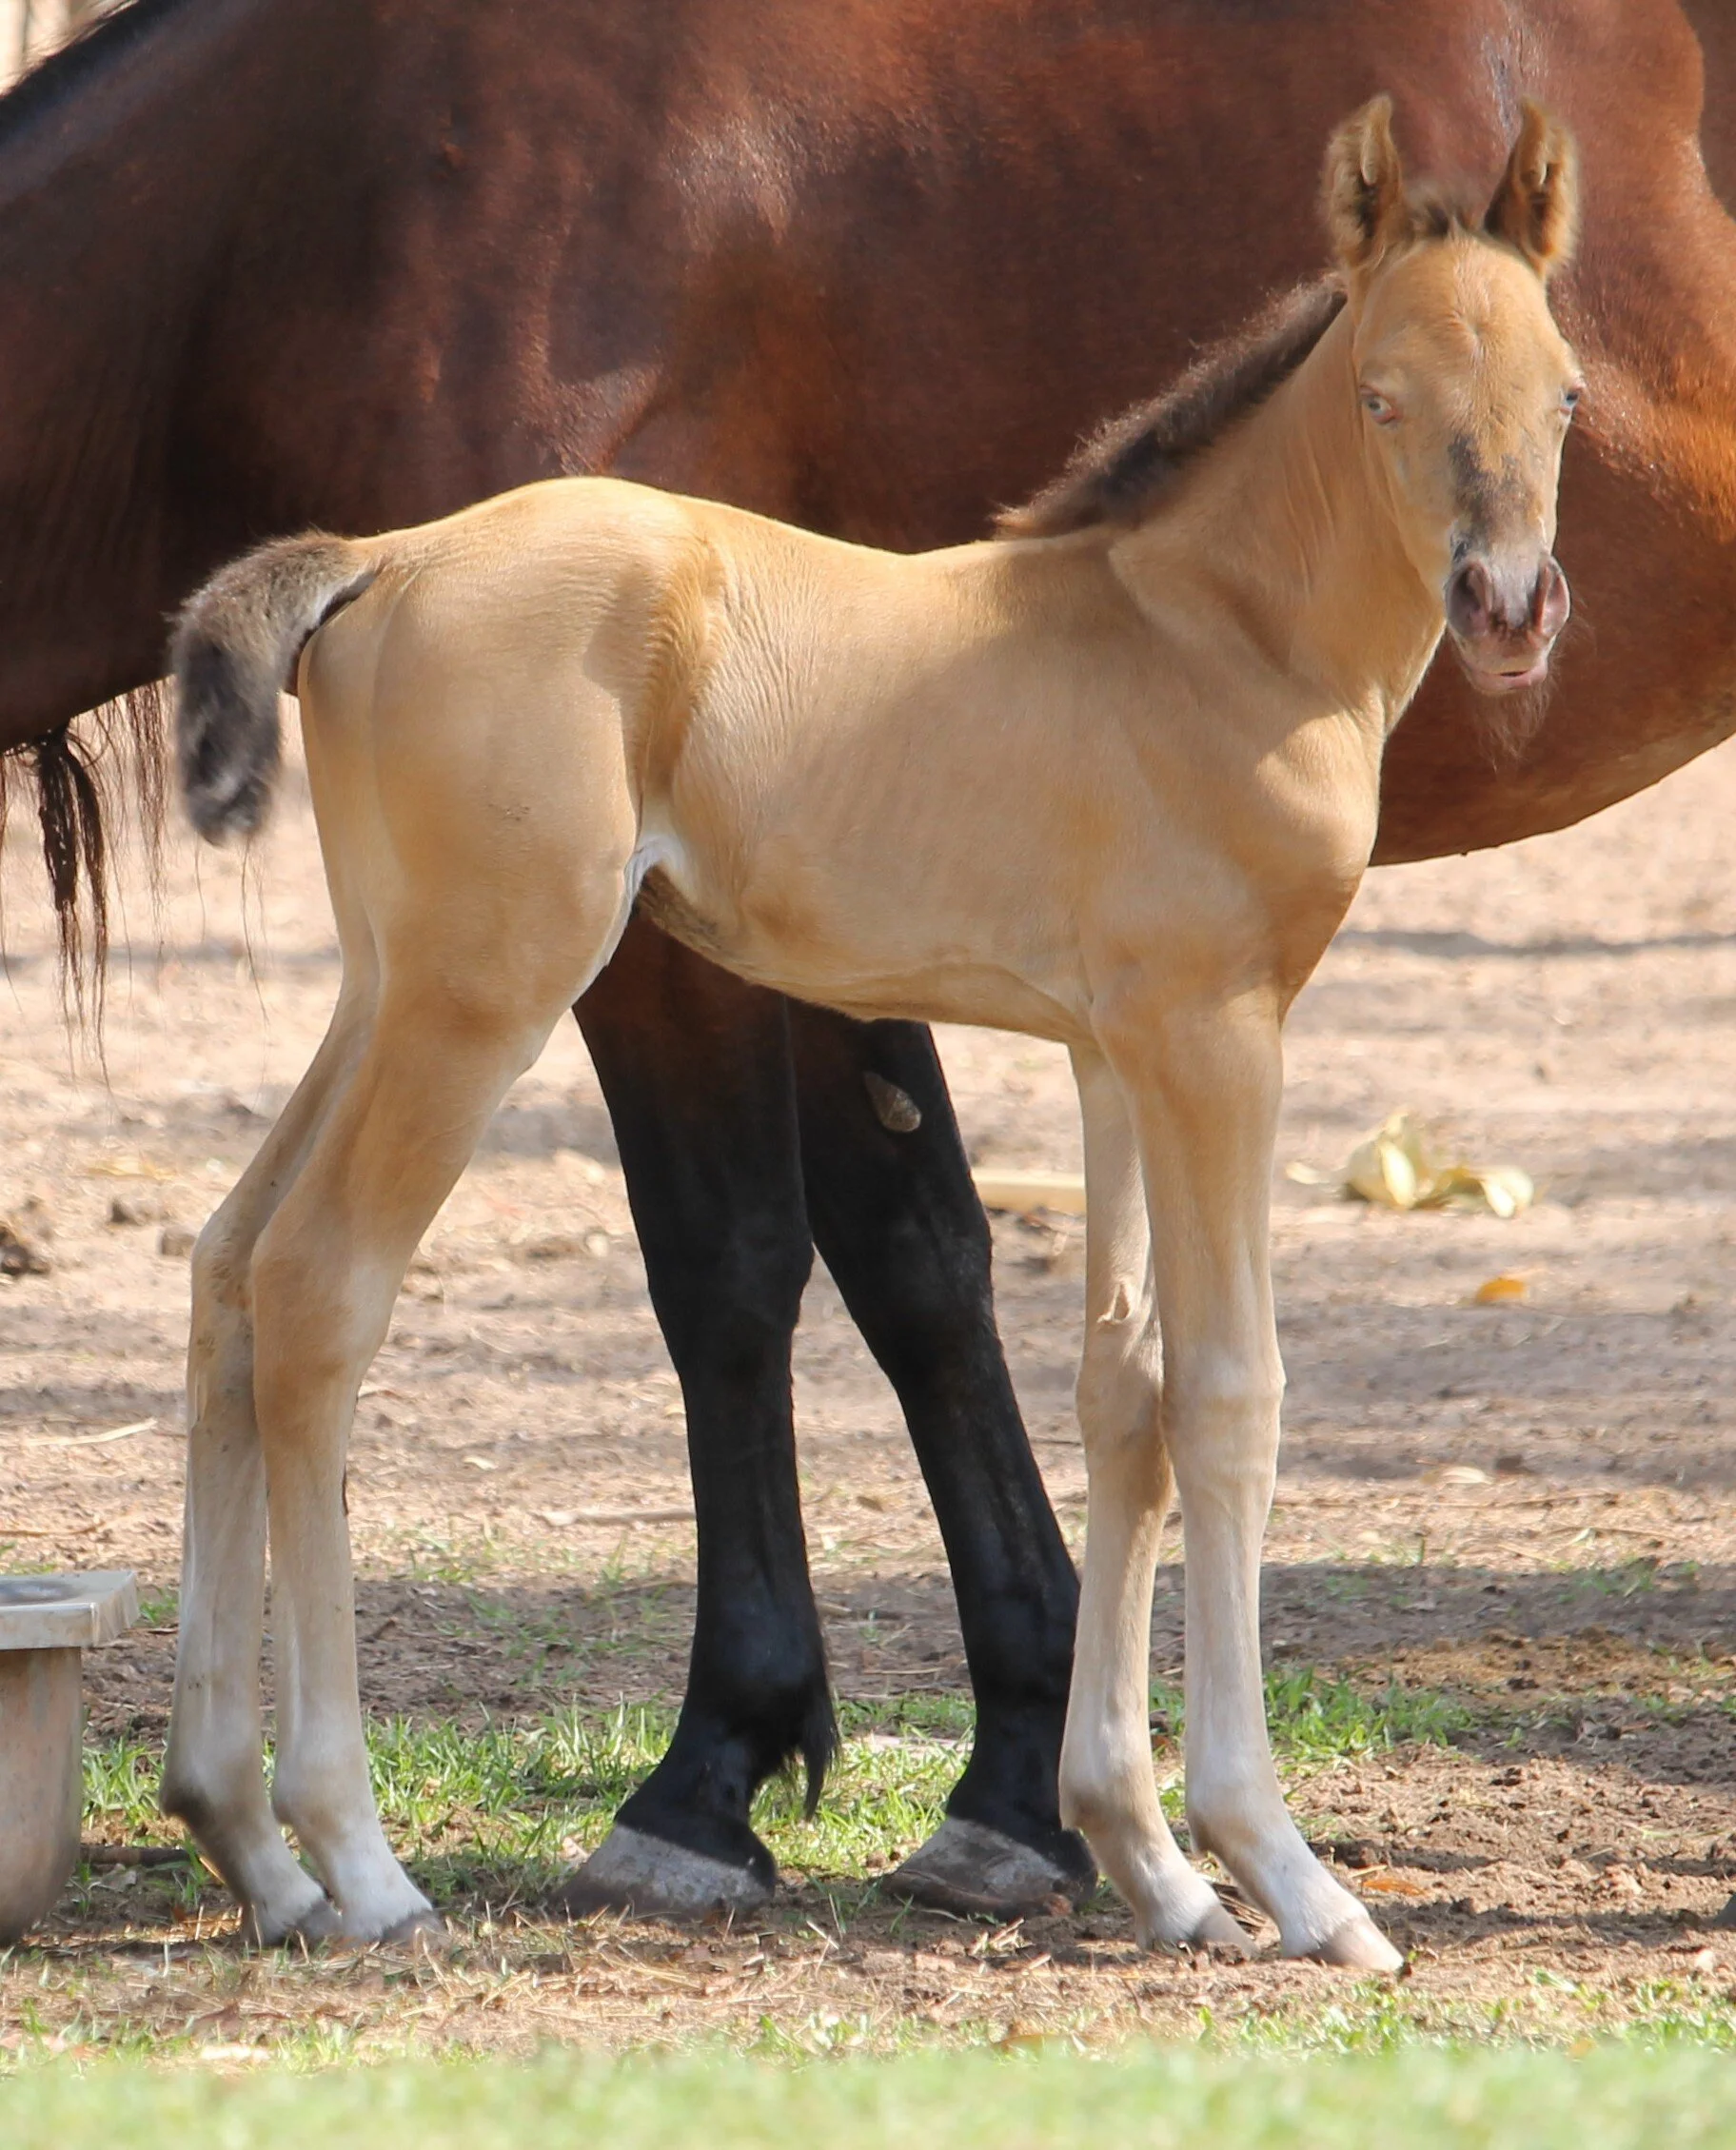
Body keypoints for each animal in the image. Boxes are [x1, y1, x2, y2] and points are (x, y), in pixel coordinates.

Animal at [1, 0, 1733, 1927]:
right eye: (1382, 398)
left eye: (1562, 394)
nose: (1509, 605)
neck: (1203, 634)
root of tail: (374, 561)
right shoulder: (1217, 1037)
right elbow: (1223, 1389)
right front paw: (1280, 1876)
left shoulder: (1115, 1048)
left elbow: (1120, 1391)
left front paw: (1141, 1858)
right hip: (488, 990)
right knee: (317, 1287)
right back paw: (358, 1858)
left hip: (390, 983)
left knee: (231, 1266)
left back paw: (241, 1826)